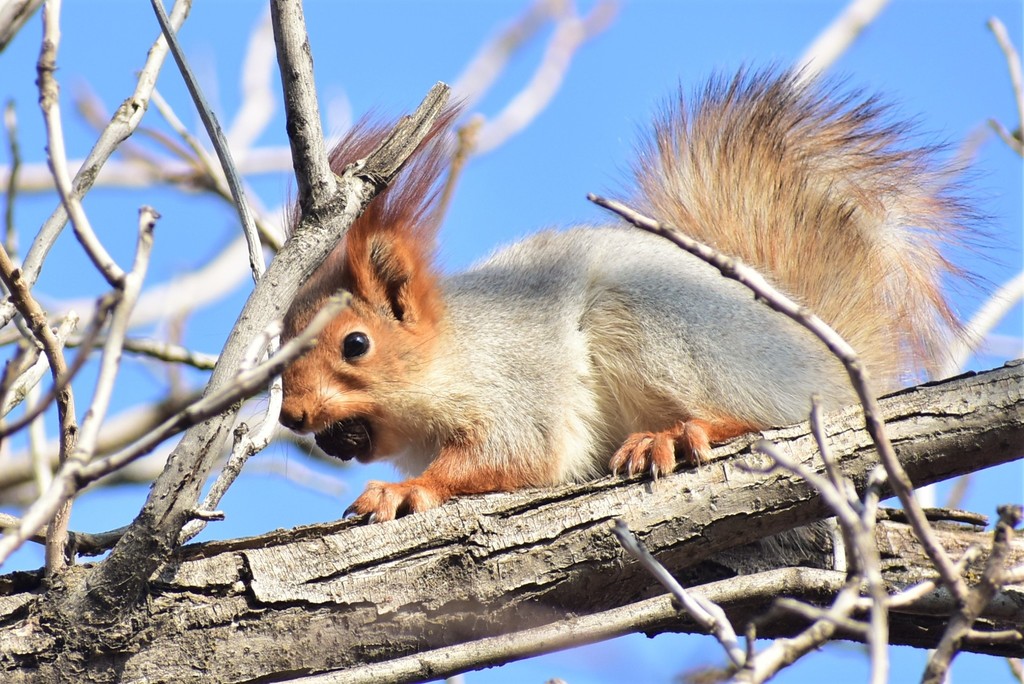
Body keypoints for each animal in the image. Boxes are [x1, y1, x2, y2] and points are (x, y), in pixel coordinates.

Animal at [278, 70, 966, 522]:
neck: (453, 350)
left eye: (357, 343)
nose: (291, 416)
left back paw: (681, 434)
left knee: (765, 412)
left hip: (662, 330)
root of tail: (823, 354)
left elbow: (516, 452)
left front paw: (405, 490)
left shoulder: (517, 383)